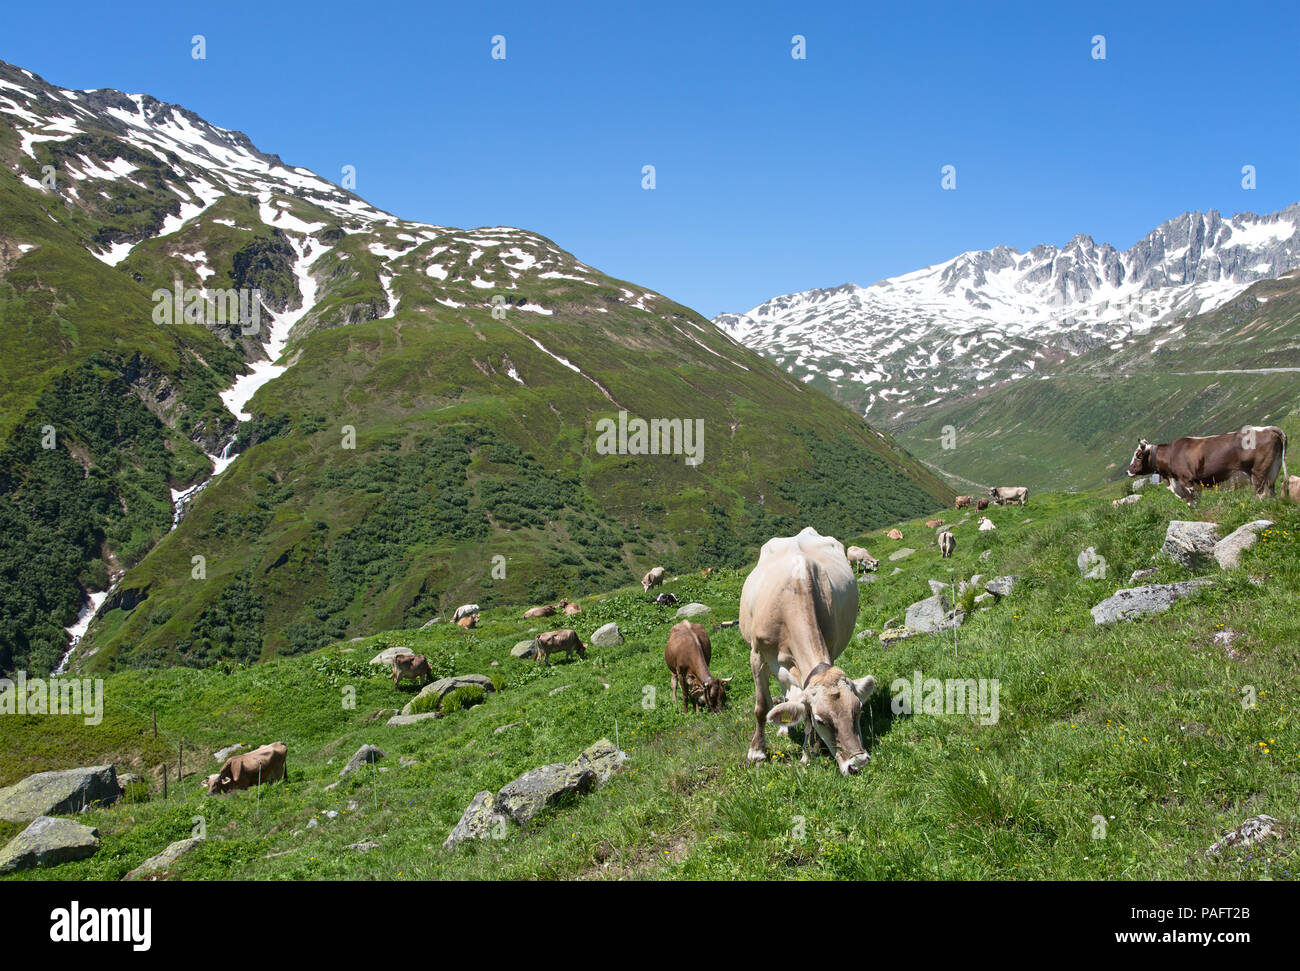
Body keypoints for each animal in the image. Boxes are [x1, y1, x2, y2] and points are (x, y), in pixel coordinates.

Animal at [740, 527, 877, 776]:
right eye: (822, 720)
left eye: (858, 710)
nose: (858, 763)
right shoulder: (756, 655)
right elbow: (762, 707)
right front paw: (757, 752)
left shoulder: (829, 649)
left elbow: (803, 710)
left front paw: (809, 751)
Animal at [1127, 427, 1287, 502]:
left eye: (1138, 455)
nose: (1128, 471)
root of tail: (1268, 428)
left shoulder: (1187, 481)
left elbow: (1192, 504)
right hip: (1273, 469)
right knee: (1271, 492)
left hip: (1258, 472)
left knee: (1262, 494)